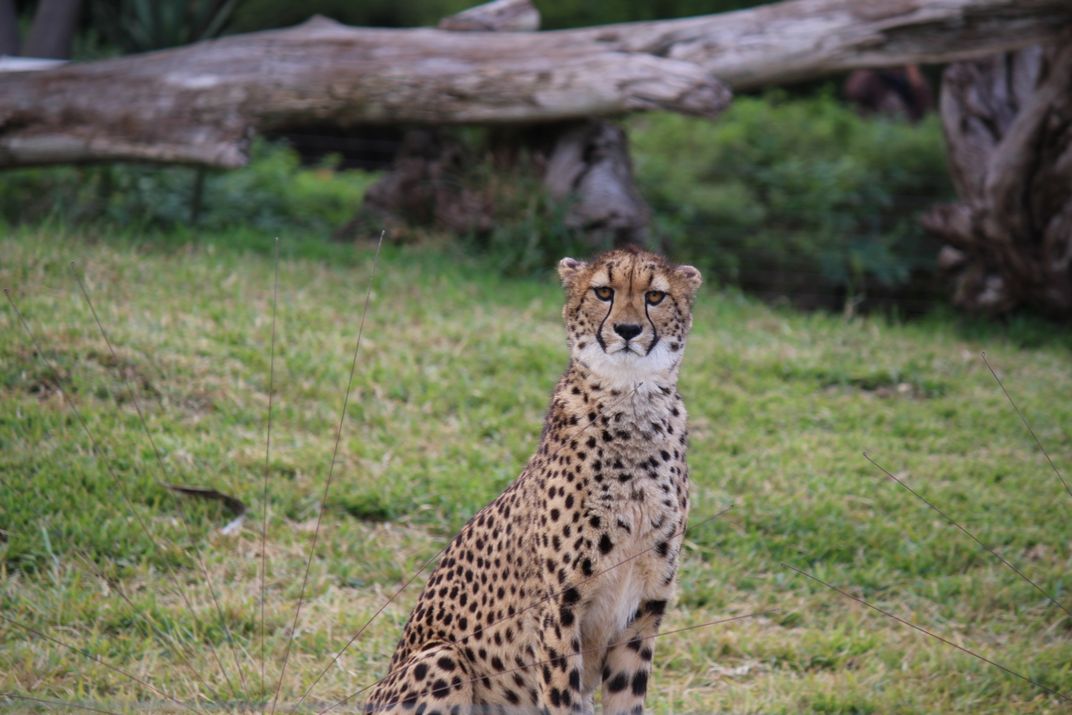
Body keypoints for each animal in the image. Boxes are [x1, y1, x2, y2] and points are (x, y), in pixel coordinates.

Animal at [365, 247, 702, 714]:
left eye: (655, 296)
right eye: (603, 292)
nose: (628, 329)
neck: (631, 403)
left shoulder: (643, 612)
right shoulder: (559, 609)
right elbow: (562, 697)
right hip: (443, 658)